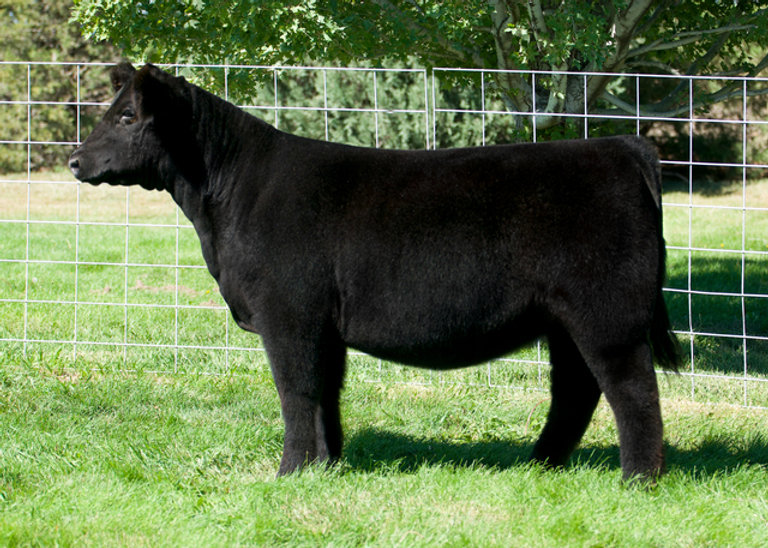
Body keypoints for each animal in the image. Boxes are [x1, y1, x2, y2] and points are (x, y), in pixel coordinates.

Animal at [69, 63, 679, 481]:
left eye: (126, 116)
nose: (75, 160)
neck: (225, 201)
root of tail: (624, 146)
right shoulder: (322, 324)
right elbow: (324, 392)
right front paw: (325, 466)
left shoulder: (287, 314)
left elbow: (295, 389)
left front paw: (289, 471)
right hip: (562, 319)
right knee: (576, 388)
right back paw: (540, 464)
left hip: (607, 313)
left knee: (631, 388)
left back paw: (637, 479)